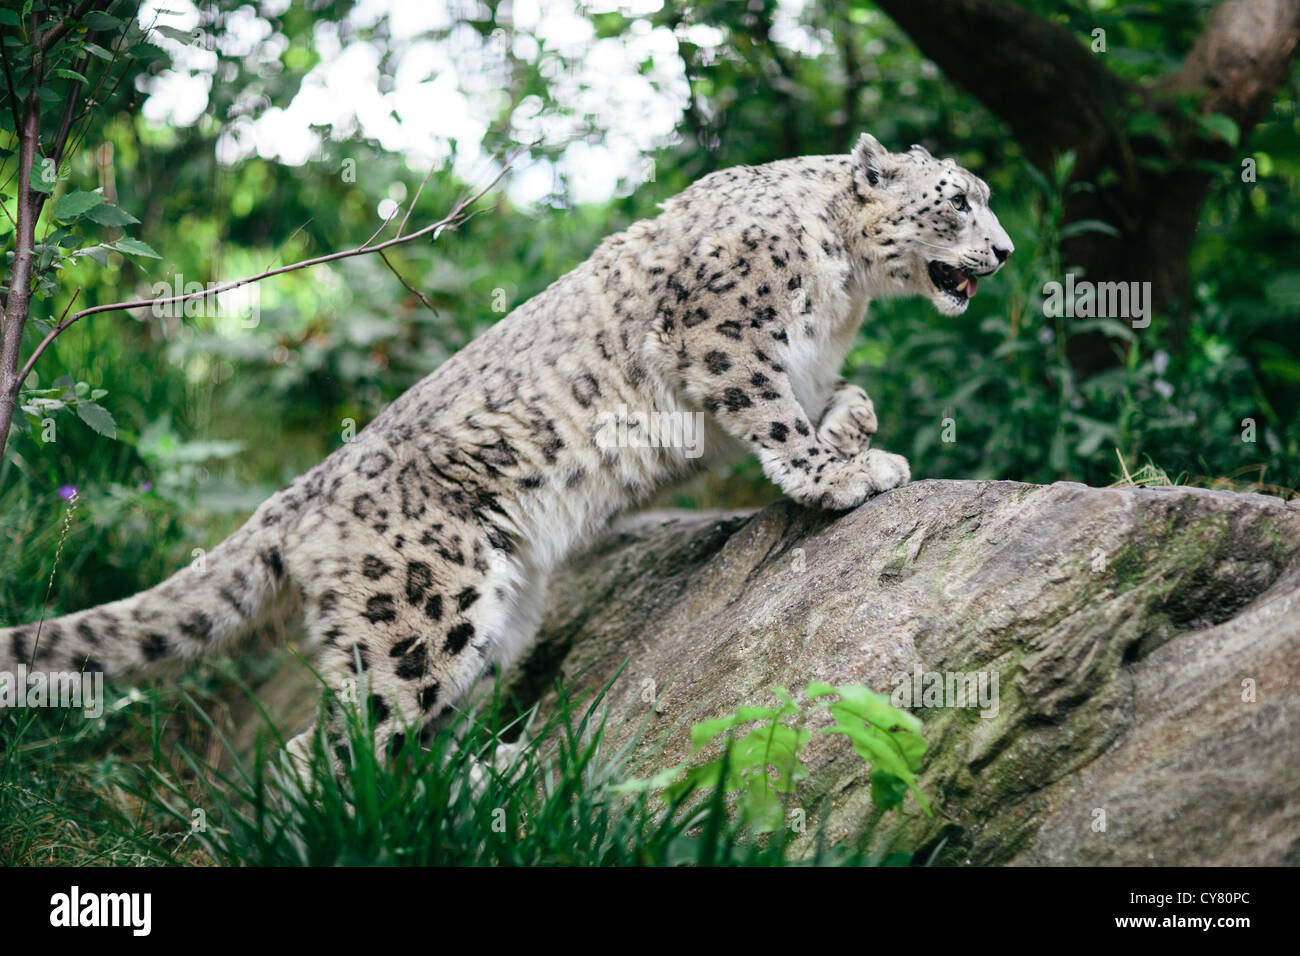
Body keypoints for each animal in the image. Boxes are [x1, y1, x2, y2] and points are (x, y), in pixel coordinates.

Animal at [0, 133, 1013, 769]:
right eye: (959, 202)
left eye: (986, 203)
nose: (1004, 251)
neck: (847, 297)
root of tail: (304, 489)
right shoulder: (723, 335)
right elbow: (769, 413)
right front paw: (842, 474)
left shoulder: (803, 362)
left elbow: (848, 396)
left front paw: (854, 432)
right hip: (419, 614)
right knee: (339, 745)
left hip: (493, 622)